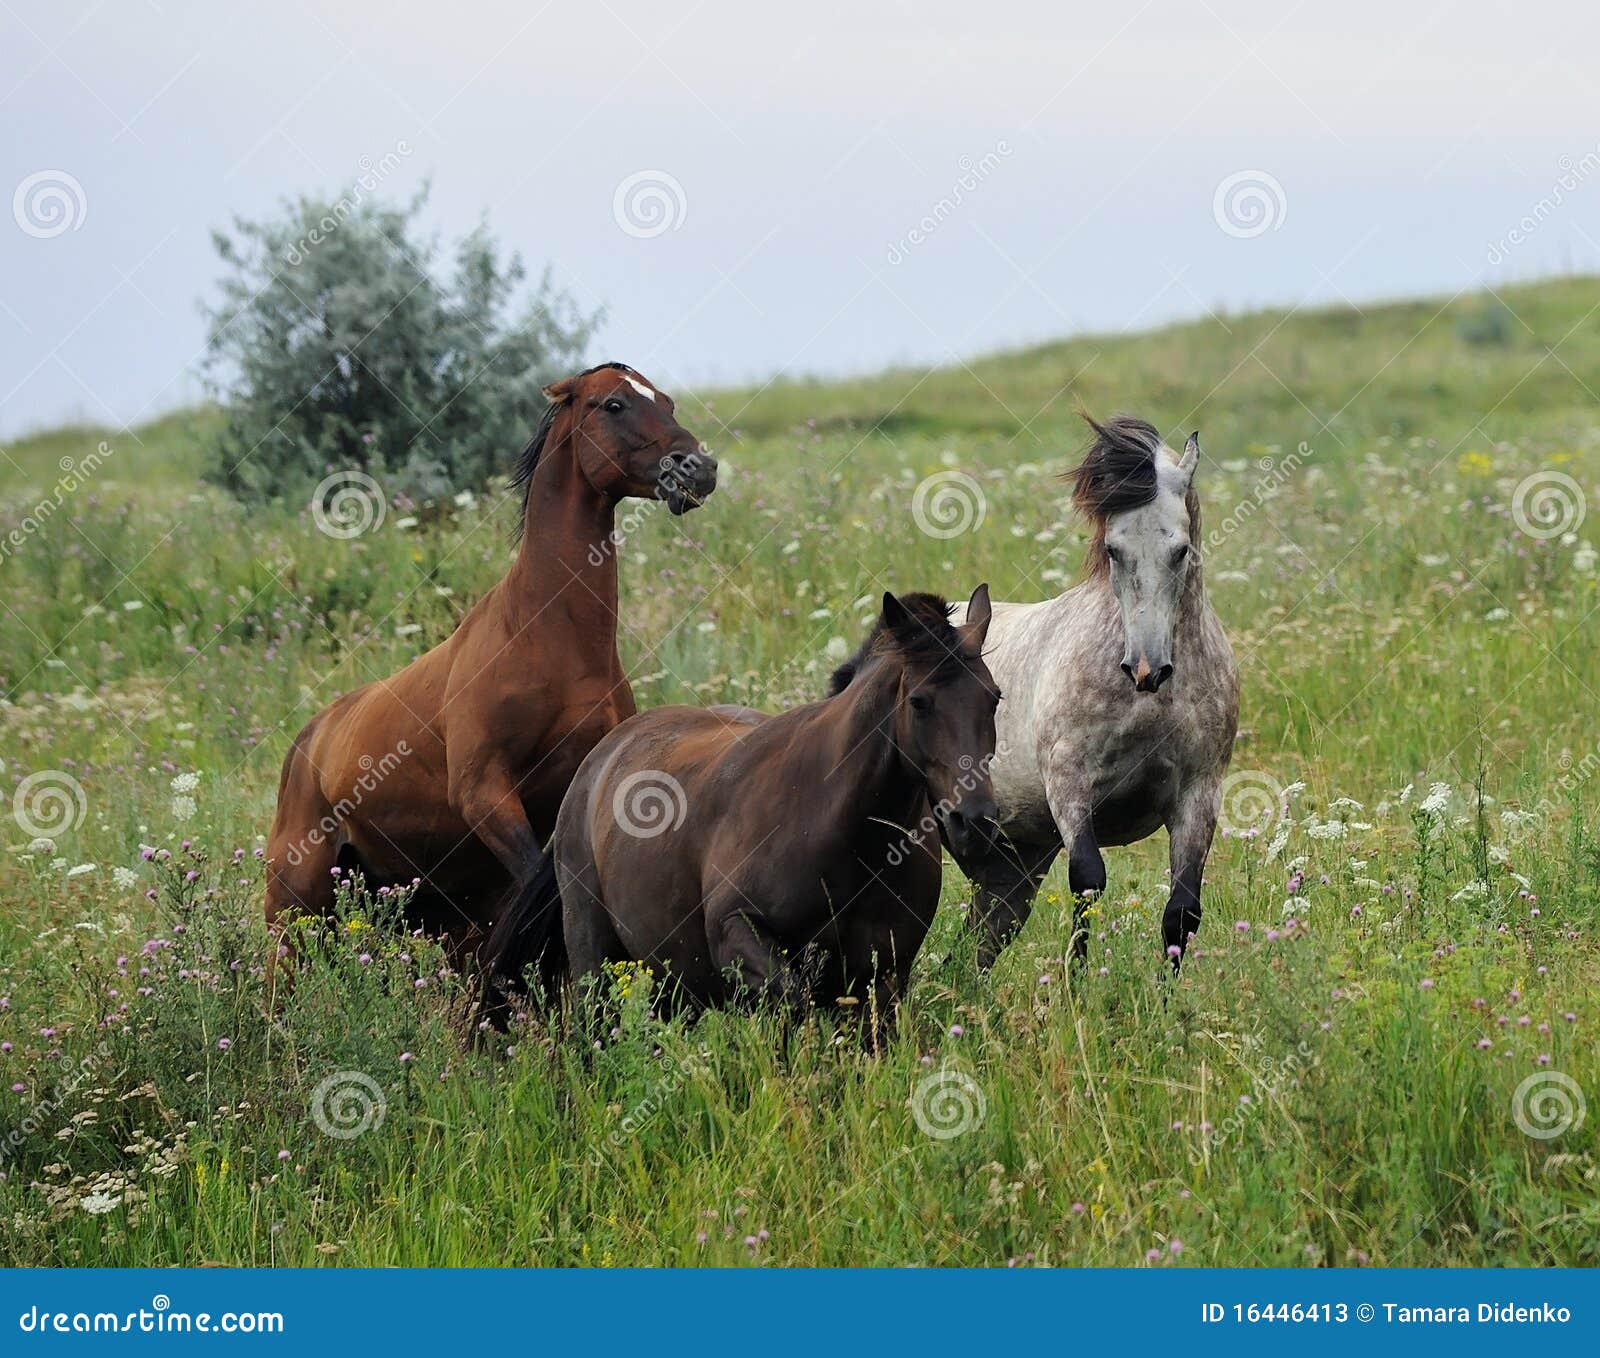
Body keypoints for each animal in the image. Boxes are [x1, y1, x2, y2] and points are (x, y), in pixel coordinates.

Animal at [264, 363, 718, 986]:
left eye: (667, 402)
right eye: (613, 404)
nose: (699, 467)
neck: (544, 637)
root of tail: (306, 744)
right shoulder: (483, 791)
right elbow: (536, 894)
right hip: (292, 908)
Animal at [482, 587, 1000, 1038]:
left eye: (994, 697)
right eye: (919, 700)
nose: (974, 819)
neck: (849, 836)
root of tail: (597, 764)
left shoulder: (885, 974)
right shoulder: (735, 934)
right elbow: (794, 1004)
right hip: (593, 955)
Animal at [944, 412, 1239, 970]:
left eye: (1180, 550)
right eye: (1112, 550)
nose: (1147, 669)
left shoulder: (1199, 794)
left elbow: (1181, 912)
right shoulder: (1069, 783)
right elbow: (1088, 885)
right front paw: (1075, 986)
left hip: (1012, 861)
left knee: (979, 940)